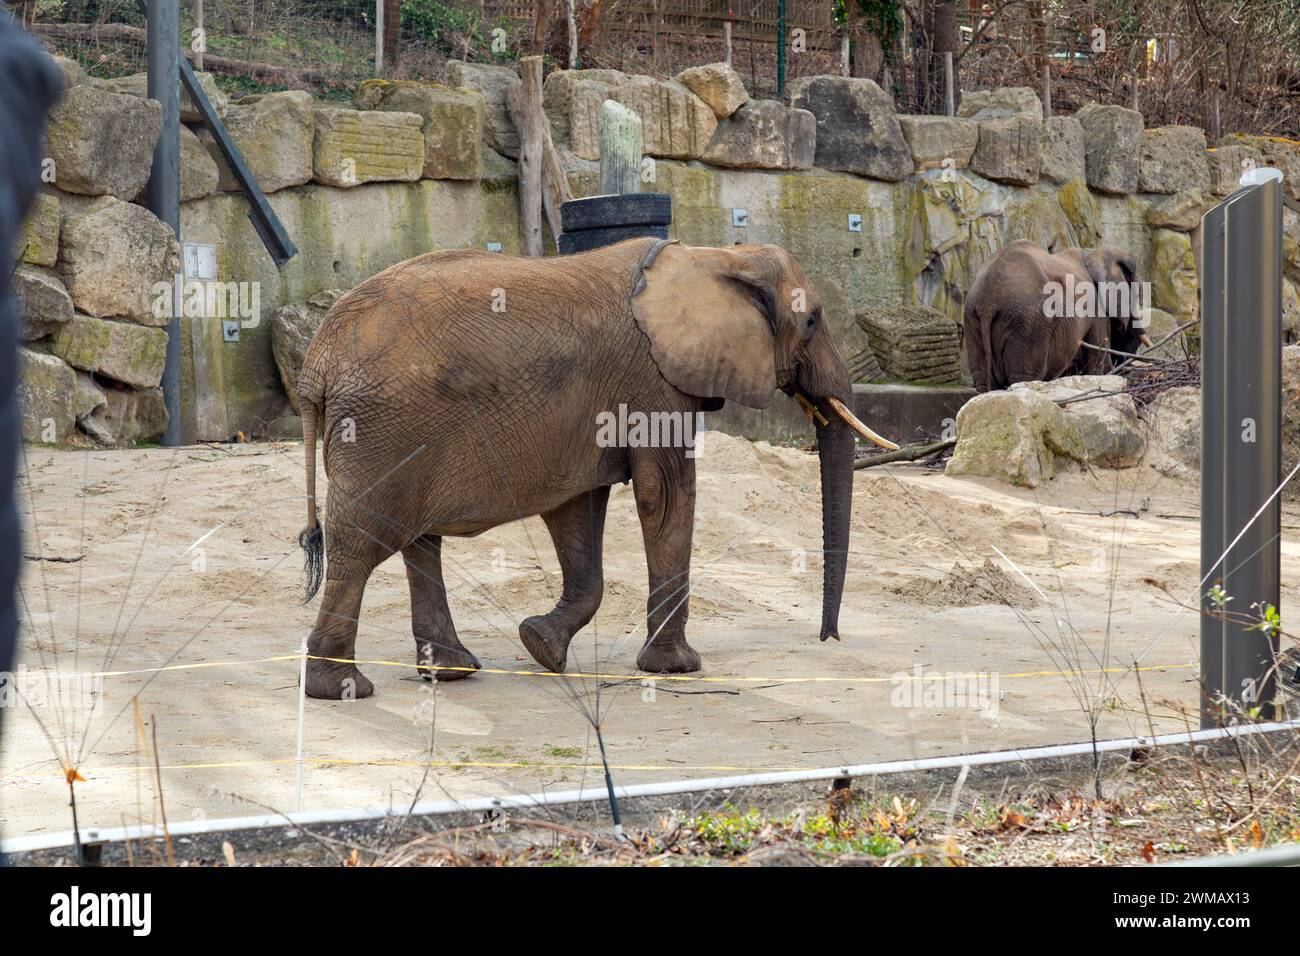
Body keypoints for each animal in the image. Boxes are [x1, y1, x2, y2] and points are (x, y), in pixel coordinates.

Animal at [295, 238, 897, 700]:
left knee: (418, 542)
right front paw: (677, 668)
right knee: (362, 544)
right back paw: (341, 689)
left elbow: (577, 513)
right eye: (812, 320)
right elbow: (666, 496)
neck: (713, 257)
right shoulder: (654, 383)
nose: (827, 638)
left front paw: (541, 645)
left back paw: (450, 672)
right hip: (381, 430)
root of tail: (316, 362)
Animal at [963, 240, 1149, 393]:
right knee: (1023, 376)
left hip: (973, 320)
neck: (1094, 252)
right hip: (1027, 324)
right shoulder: (1096, 310)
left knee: (982, 379)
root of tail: (987, 299)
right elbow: (1098, 358)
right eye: (1138, 290)